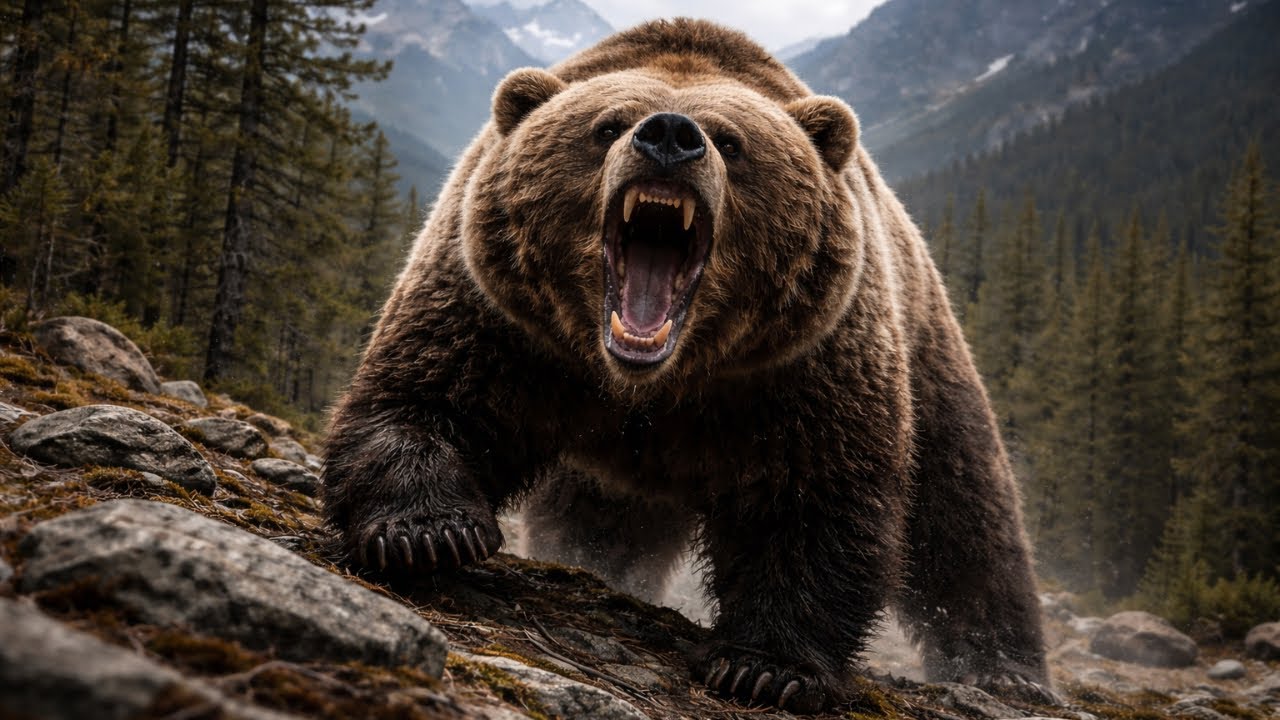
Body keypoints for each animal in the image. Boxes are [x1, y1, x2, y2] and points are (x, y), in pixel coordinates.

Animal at [322, 18, 1050, 713]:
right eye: (607, 125)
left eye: (731, 141)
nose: (670, 135)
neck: (651, 379)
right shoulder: (500, 313)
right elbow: (423, 395)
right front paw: (429, 533)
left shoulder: (806, 363)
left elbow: (815, 497)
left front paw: (766, 668)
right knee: (599, 520)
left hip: (934, 365)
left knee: (968, 520)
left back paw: (1005, 668)